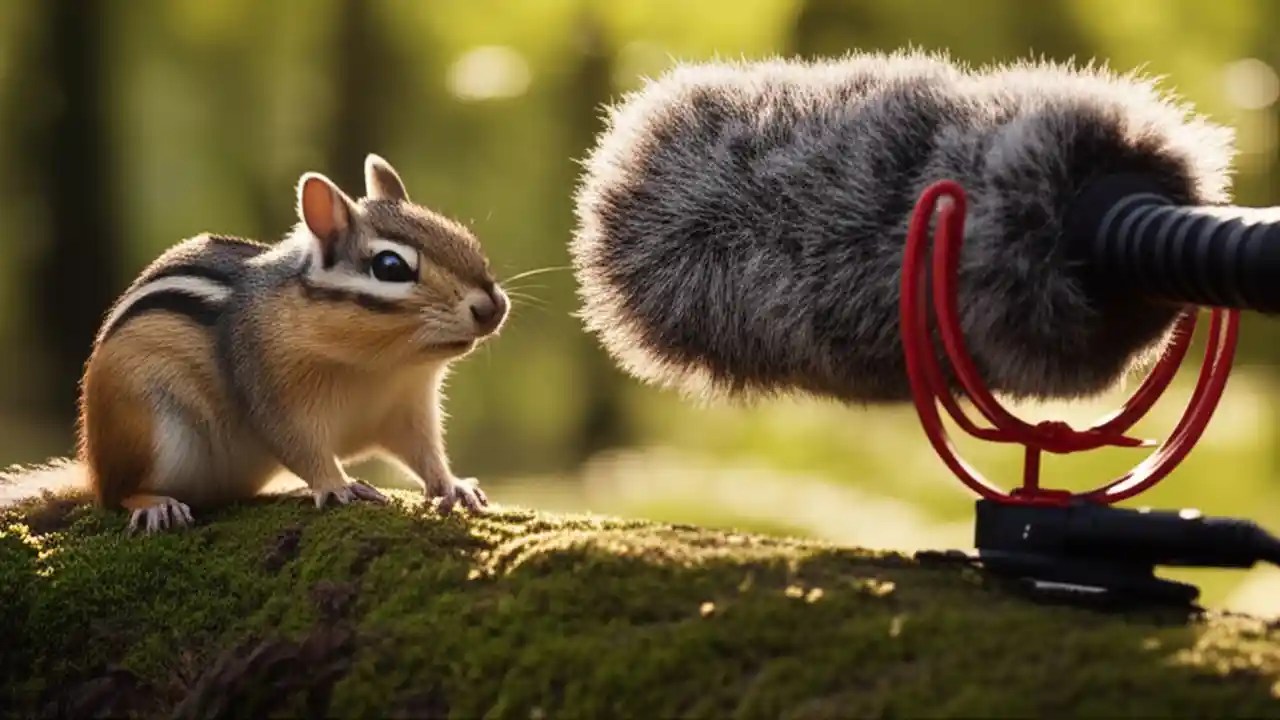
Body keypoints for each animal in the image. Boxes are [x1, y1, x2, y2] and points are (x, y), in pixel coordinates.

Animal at [3, 154, 508, 533]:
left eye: (466, 238)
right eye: (390, 267)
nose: (493, 306)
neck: (381, 365)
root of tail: (93, 468)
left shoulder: (407, 408)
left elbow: (424, 451)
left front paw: (452, 485)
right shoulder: (271, 392)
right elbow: (300, 445)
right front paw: (335, 485)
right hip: (148, 427)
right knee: (117, 494)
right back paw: (154, 503)